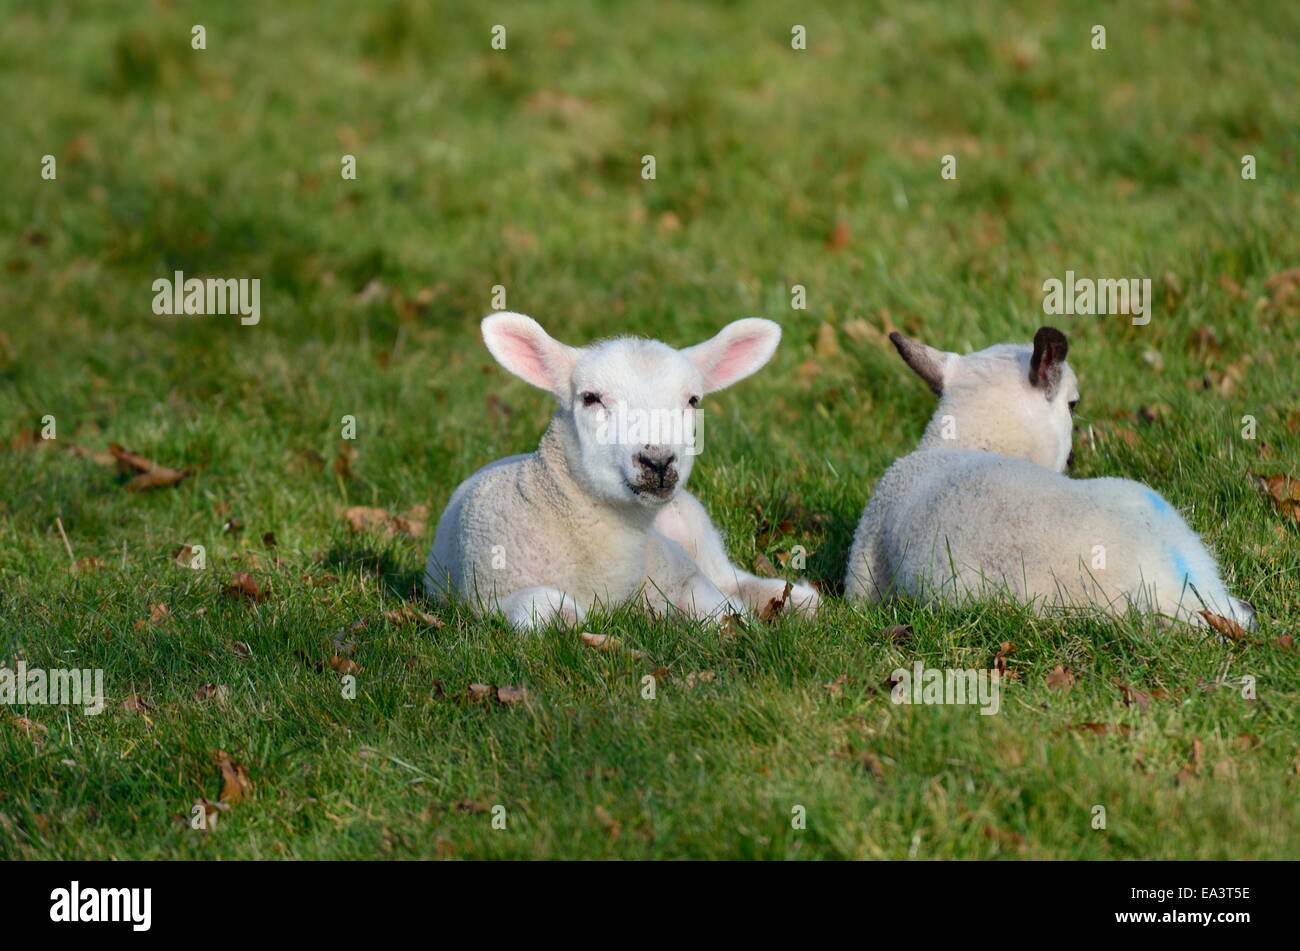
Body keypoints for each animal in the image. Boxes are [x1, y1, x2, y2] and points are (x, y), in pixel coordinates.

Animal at [426, 312, 820, 630]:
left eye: (693, 401)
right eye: (590, 398)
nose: (658, 461)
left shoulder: (680, 570)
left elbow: (719, 605)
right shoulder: (487, 595)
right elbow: (547, 608)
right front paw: (566, 620)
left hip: (697, 530)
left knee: (729, 576)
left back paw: (794, 600)